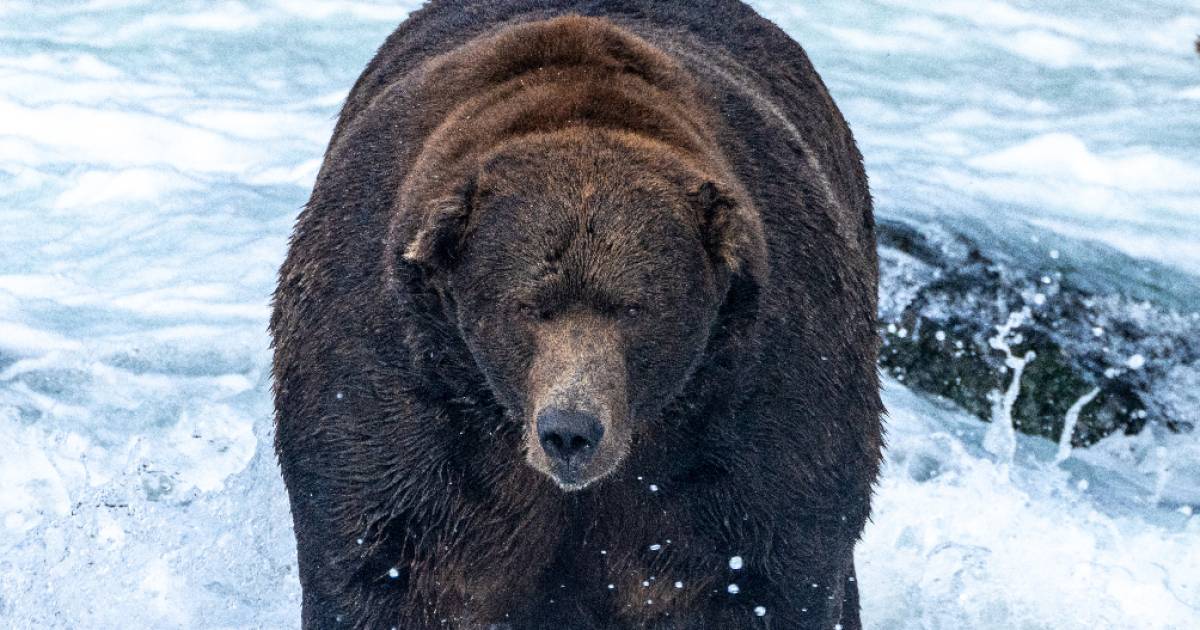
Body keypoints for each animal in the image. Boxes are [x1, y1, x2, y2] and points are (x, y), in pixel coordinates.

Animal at [271, 1, 883, 628]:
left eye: (634, 307)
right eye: (526, 306)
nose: (570, 431)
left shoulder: (759, 382)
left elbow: (765, 566)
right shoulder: (400, 372)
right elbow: (385, 558)